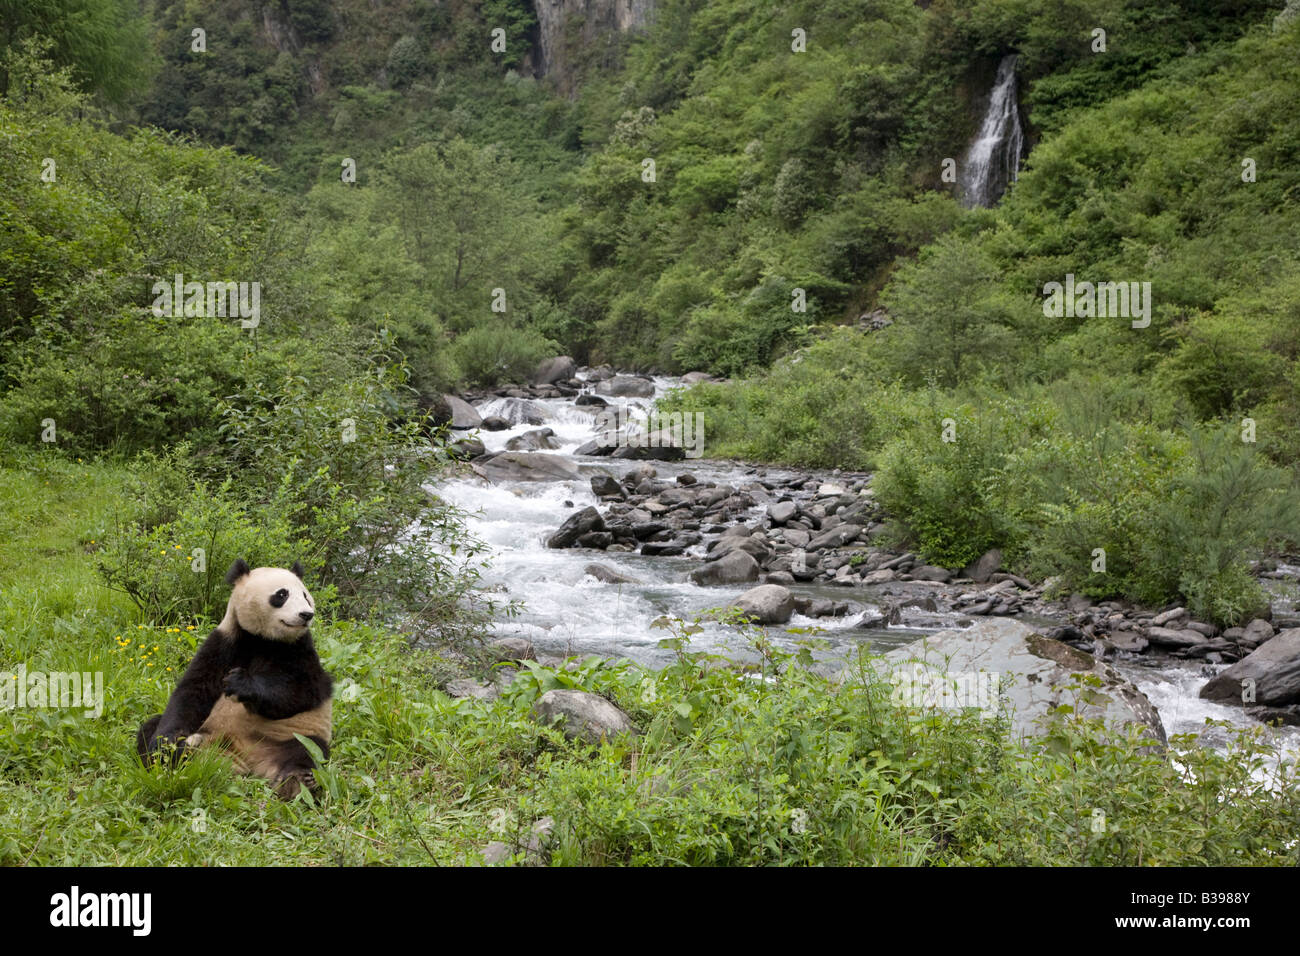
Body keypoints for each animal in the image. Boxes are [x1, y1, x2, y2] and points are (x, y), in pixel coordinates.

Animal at [136, 559, 334, 799]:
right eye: (282, 594)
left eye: (305, 595)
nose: (306, 614)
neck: (263, 639)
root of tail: (244, 758)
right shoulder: (225, 641)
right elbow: (192, 692)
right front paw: (166, 745)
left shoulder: (299, 649)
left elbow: (302, 690)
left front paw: (241, 684)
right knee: (150, 727)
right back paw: (179, 754)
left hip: (294, 734)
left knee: (308, 751)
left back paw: (296, 781)